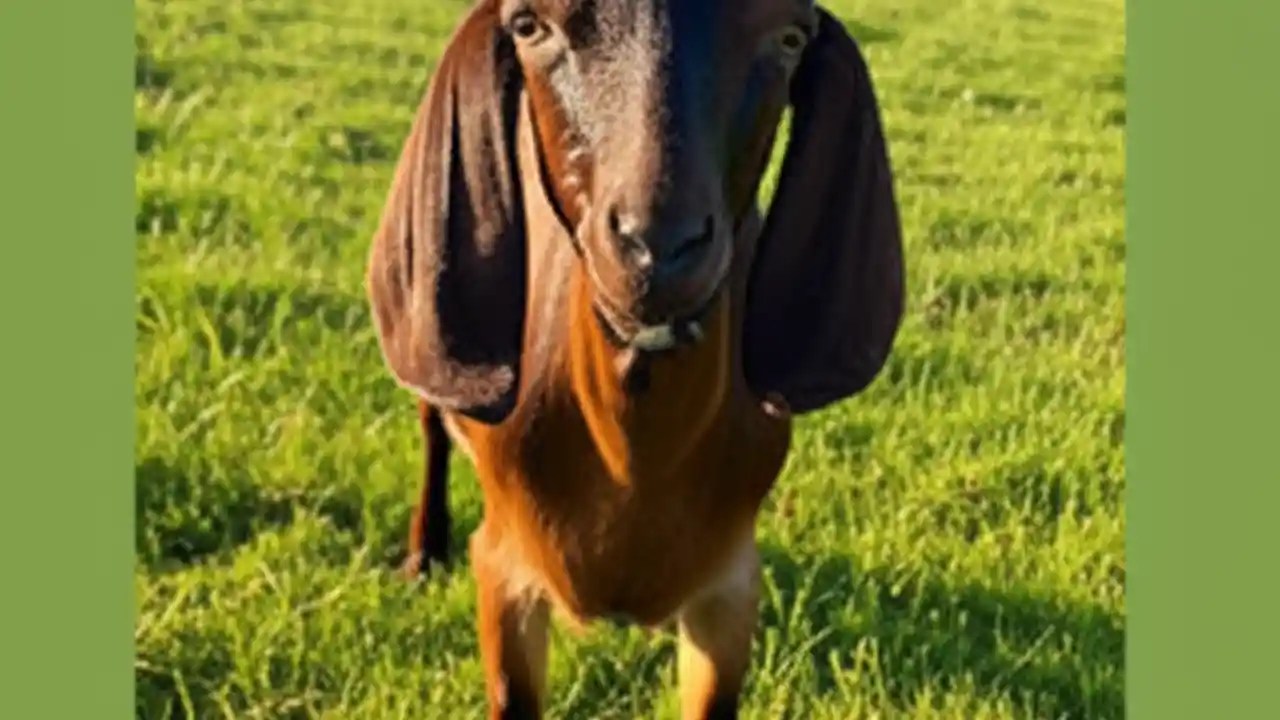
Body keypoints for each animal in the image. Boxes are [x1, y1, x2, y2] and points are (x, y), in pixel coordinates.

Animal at [366, 1, 905, 717]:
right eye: (529, 26)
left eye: (790, 36)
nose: (658, 250)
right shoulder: (505, 572)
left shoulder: (727, 590)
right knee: (431, 423)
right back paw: (424, 551)